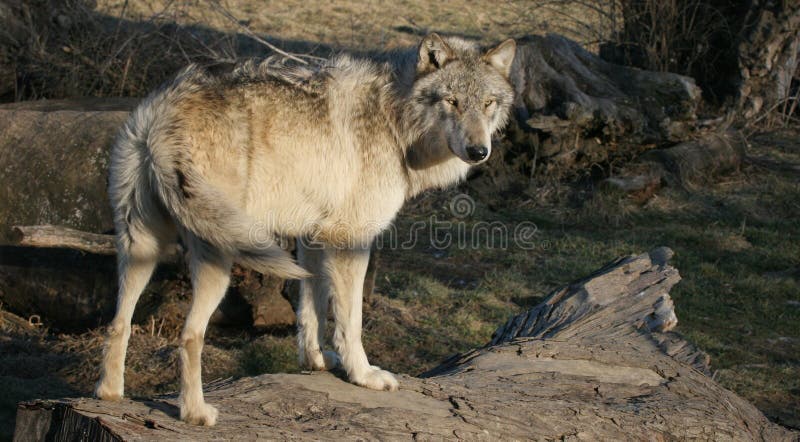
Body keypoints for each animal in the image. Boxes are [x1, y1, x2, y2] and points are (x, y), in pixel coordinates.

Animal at [94, 33, 516, 426]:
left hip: (140, 249)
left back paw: (110, 394)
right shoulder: (350, 240)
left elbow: (309, 309)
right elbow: (350, 321)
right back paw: (196, 413)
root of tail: (161, 116)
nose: (479, 151)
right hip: (218, 257)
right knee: (189, 334)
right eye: (451, 101)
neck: (394, 119)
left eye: (488, 104)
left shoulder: (312, 238)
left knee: (118, 322)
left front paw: (314, 360)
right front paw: (364, 375)